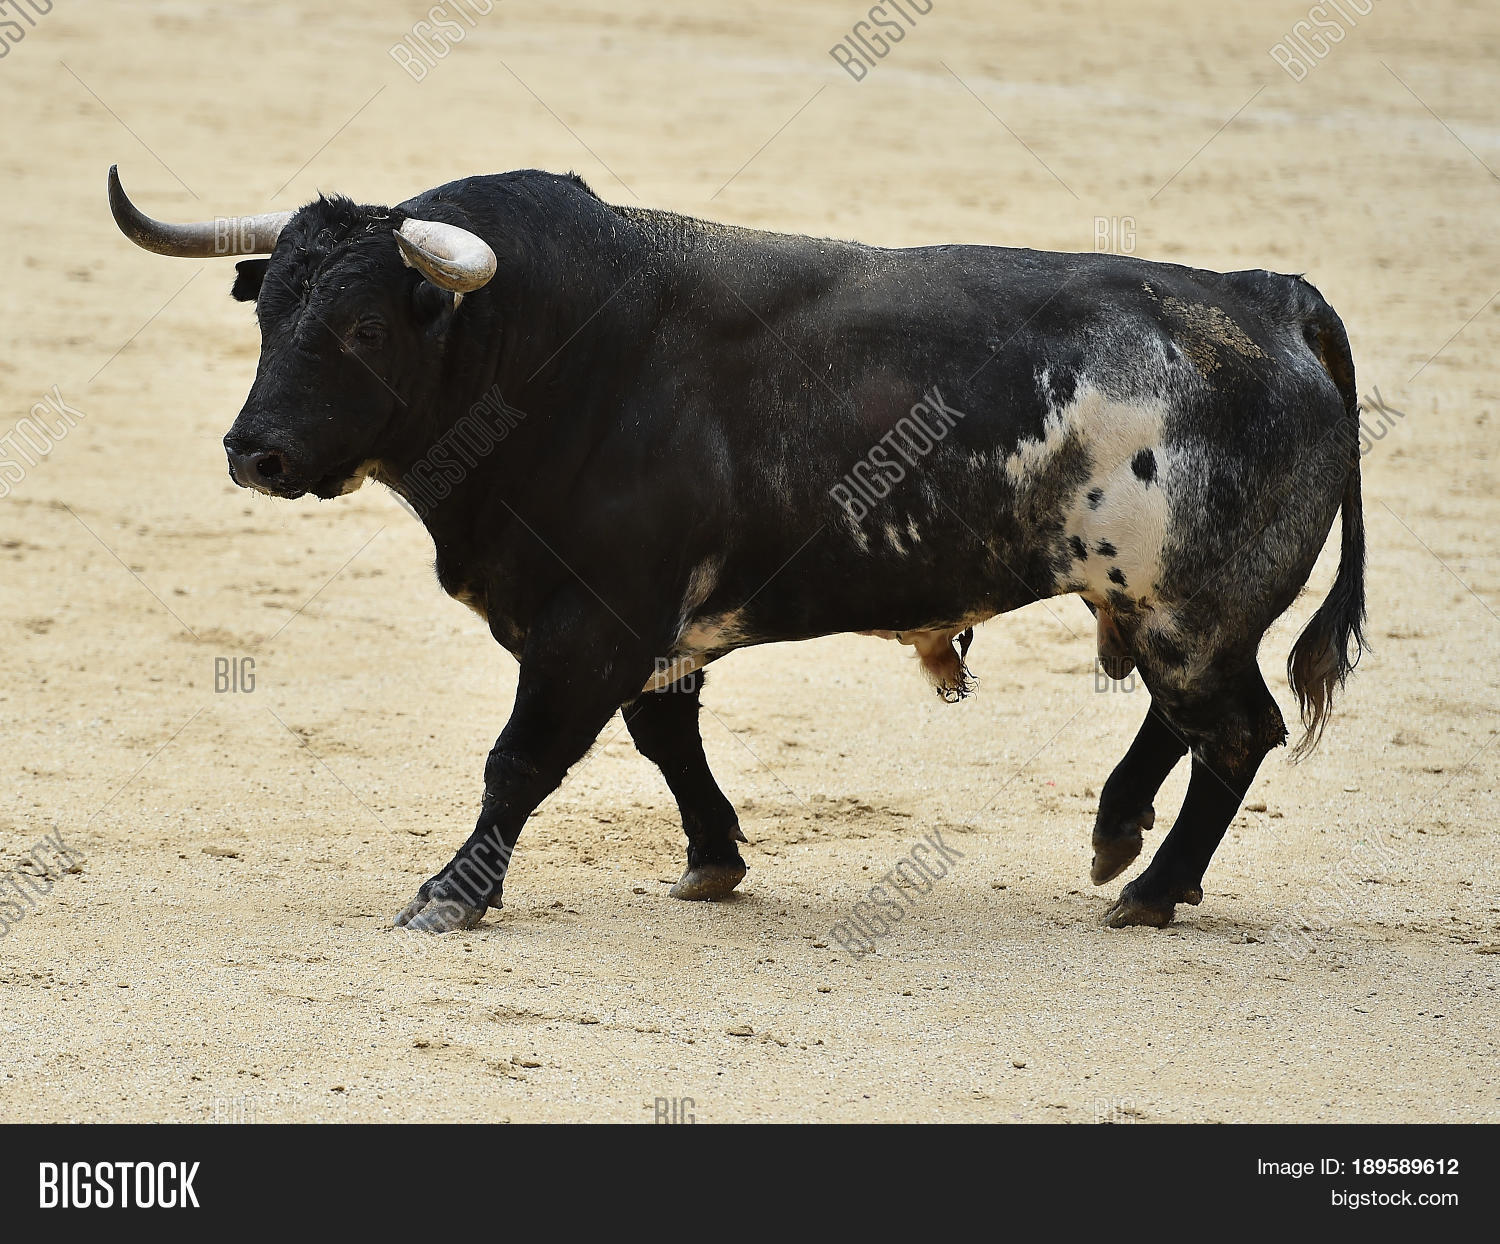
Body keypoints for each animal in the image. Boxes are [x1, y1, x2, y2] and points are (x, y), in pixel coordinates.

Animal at [107, 164, 1366, 934]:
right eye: (269, 314)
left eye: (364, 328)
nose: (254, 451)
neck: (543, 351)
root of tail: (1264, 296)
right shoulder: (637, 633)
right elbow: (667, 739)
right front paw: (713, 858)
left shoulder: (590, 623)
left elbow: (519, 759)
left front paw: (449, 893)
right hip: (1162, 608)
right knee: (1190, 720)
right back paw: (1117, 841)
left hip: (1190, 608)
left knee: (1233, 730)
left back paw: (1151, 886)